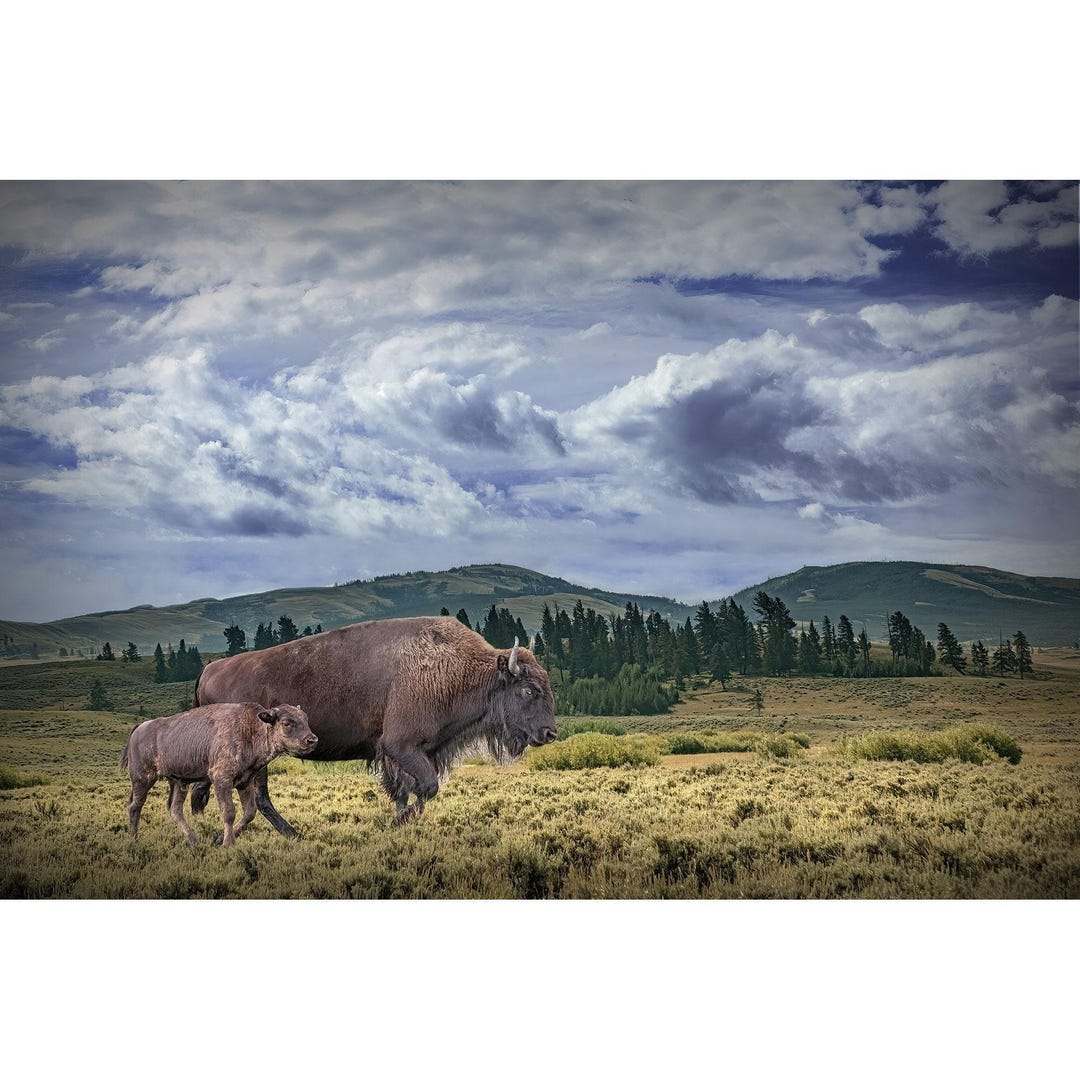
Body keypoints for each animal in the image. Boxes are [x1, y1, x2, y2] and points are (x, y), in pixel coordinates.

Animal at [120, 702, 318, 846]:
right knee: (135, 806)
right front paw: (229, 844)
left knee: (175, 810)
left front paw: (219, 839)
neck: (250, 729)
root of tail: (138, 729)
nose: (312, 740)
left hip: (178, 782)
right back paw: (134, 839)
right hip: (143, 778)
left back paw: (194, 841)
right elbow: (229, 812)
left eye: (306, 719)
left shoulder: (245, 782)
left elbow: (249, 812)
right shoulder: (221, 780)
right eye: (286, 723)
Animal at [190, 616, 557, 829]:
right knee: (254, 797)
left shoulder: (415, 754)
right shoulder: (401, 747)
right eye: (529, 689)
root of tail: (208, 670)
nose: (550, 732)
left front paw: (400, 822)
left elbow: (406, 791)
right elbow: (425, 788)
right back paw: (289, 835)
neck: (459, 669)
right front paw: (397, 824)